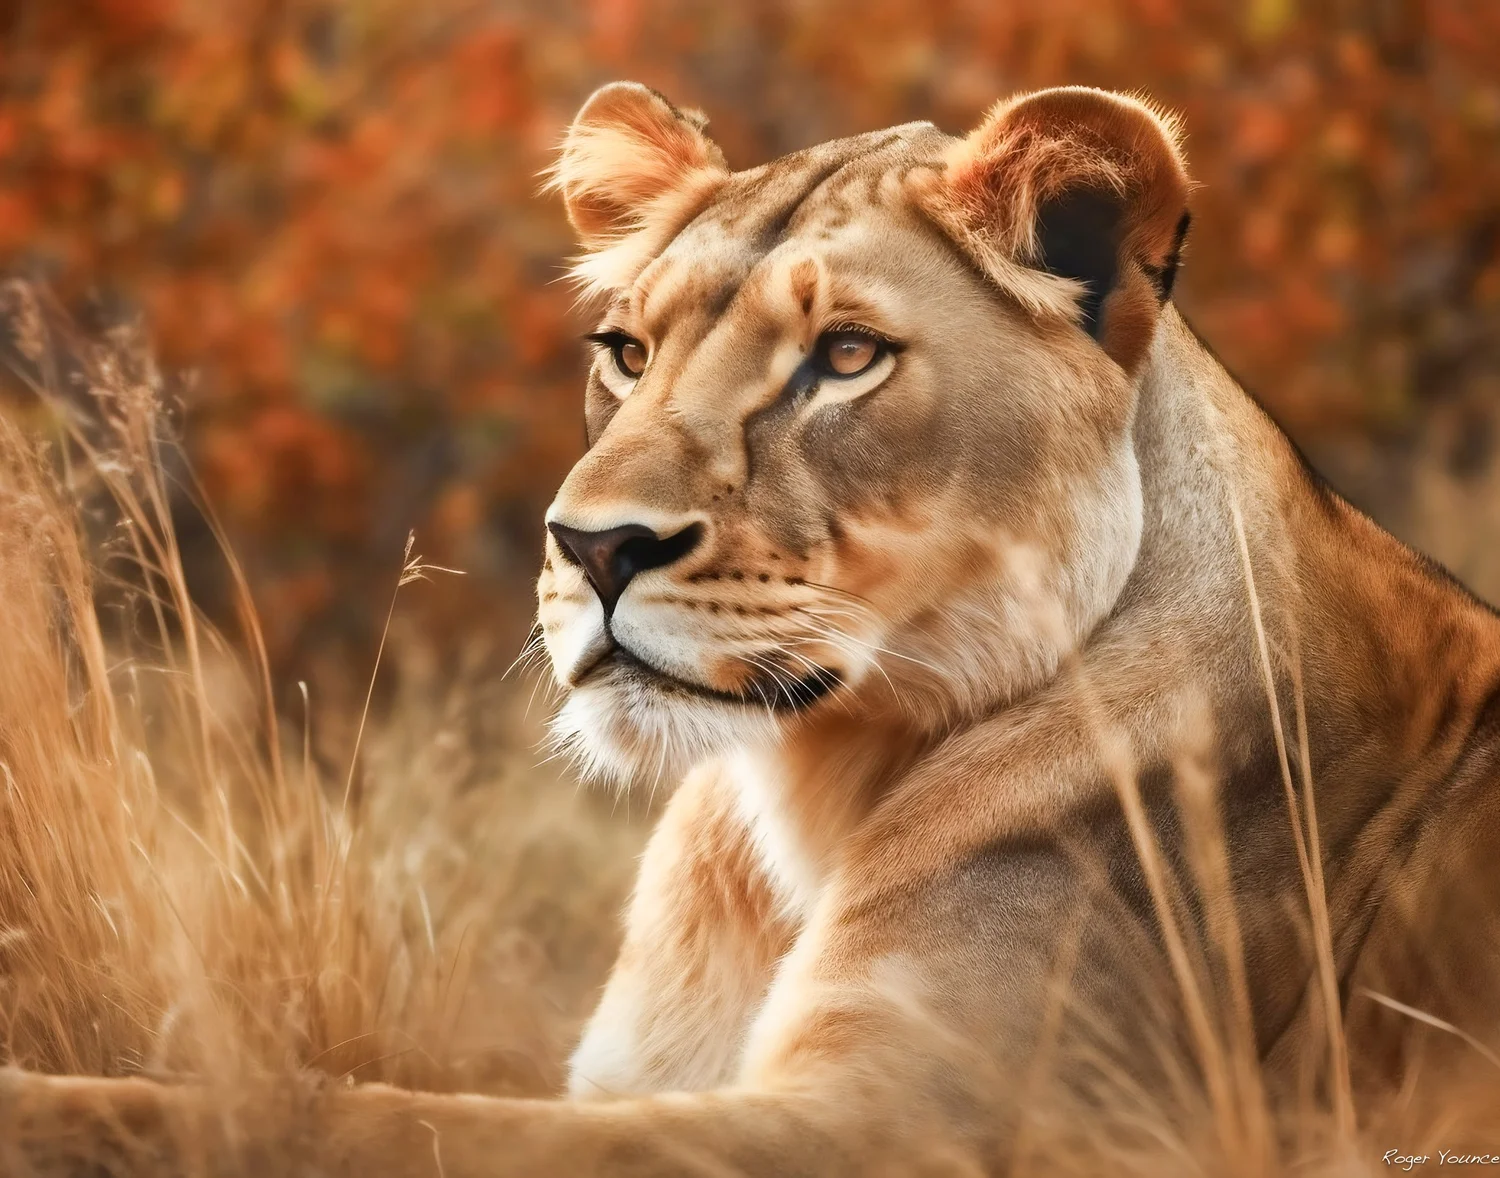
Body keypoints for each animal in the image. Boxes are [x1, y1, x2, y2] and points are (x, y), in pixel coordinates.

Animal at [6, 82, 1500, 1175]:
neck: (809, 789)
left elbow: (345, 1113)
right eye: (626, 352)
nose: (595, 547)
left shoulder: (918, 1124)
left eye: (845, 357)